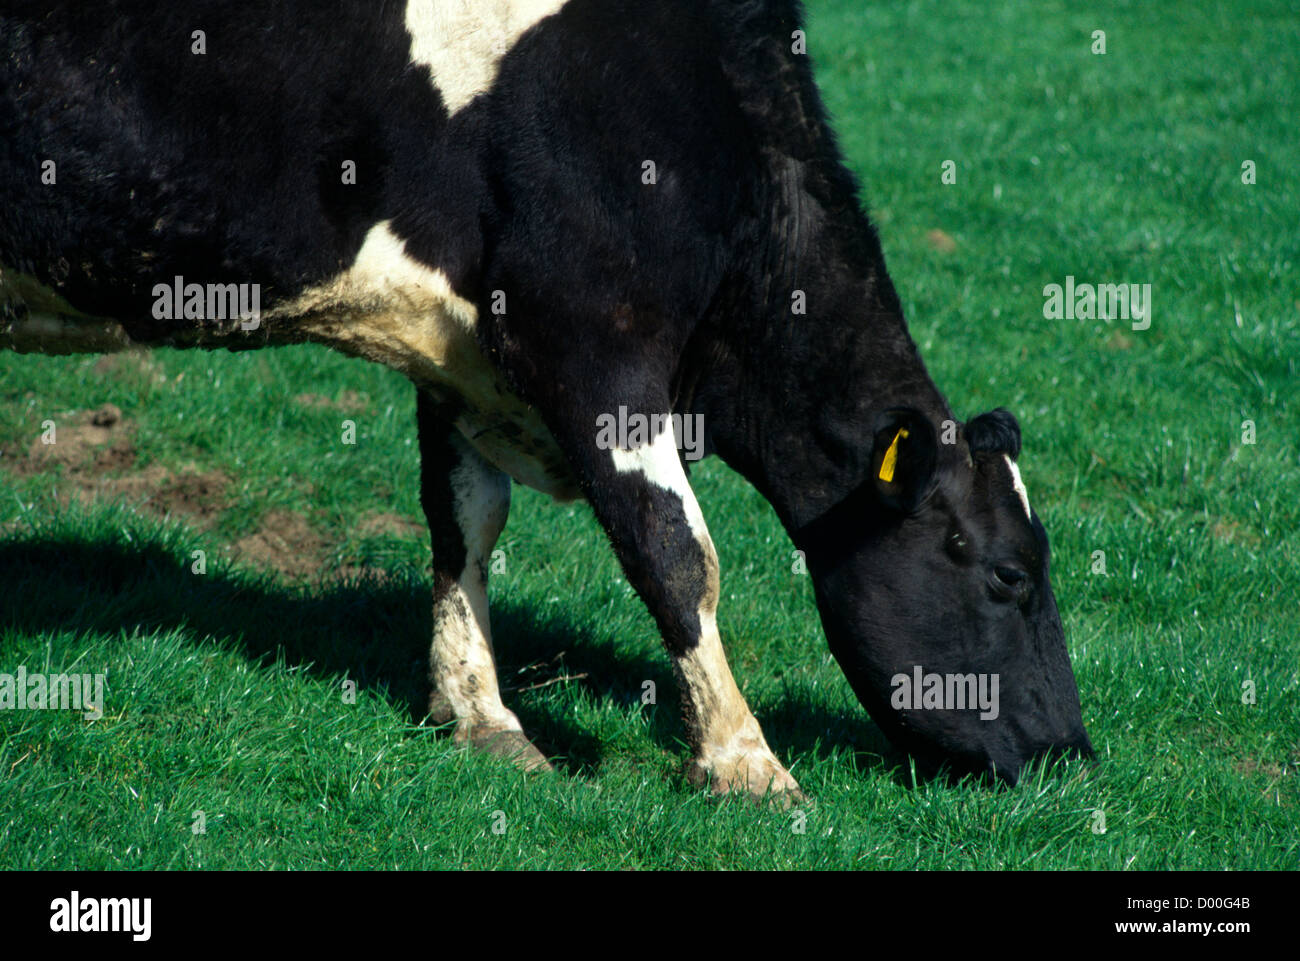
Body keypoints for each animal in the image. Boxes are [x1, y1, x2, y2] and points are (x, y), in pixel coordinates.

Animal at [0, 0, 1093, 802]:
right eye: (1009, 574)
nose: (1073, 753)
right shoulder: (589, 338)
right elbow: (677, 554)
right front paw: (748, 763)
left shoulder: (463, 349)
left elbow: (465, 523)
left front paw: (482, 717)